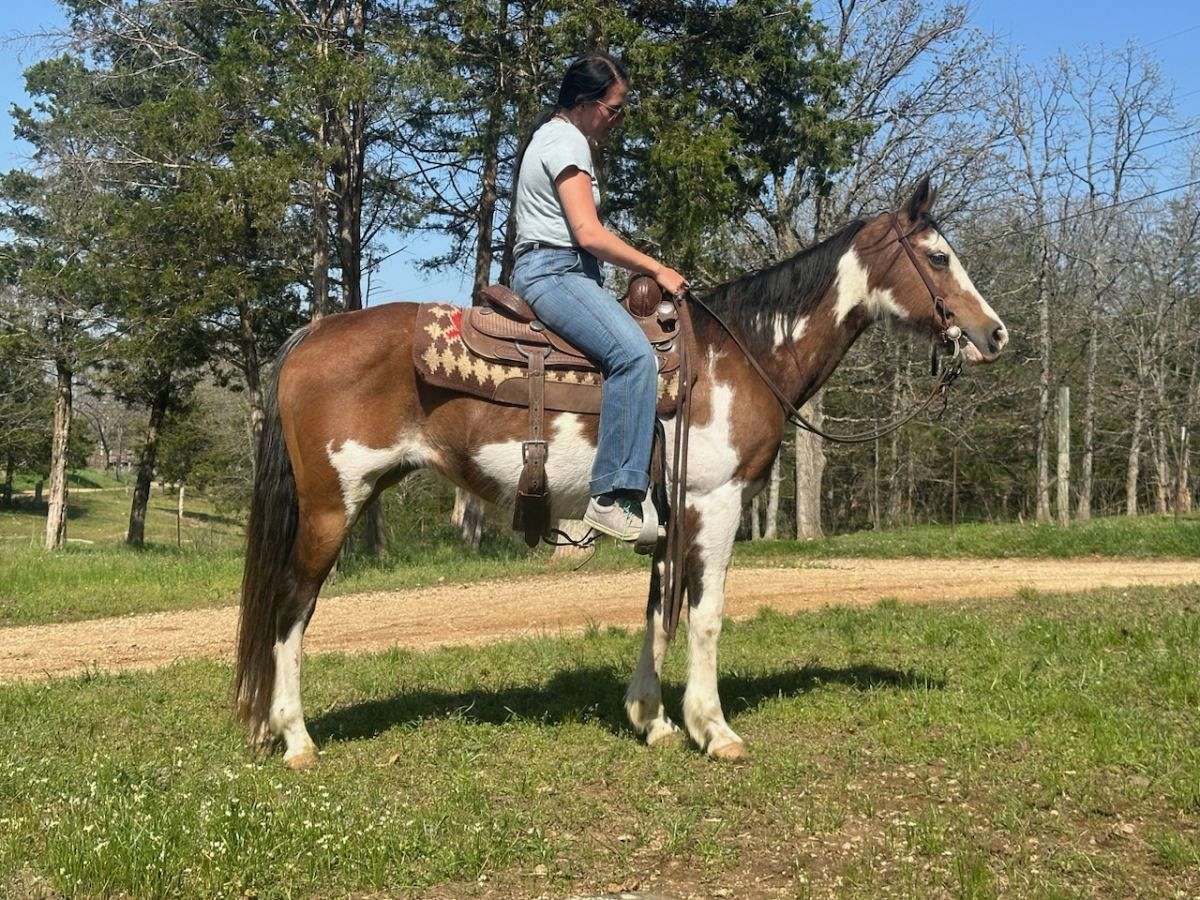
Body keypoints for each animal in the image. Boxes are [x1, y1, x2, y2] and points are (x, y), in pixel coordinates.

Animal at [234, 176, 1008, 769]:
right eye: (938, 256)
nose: (994, 334)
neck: (741, 354)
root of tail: (313, 334)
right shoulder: (716, 503)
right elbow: (704, 615)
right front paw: (714, 729)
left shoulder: (671, 514)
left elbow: (657, 613)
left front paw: (653, 719)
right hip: (332, 506)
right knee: (292, 608)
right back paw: (296, 739)